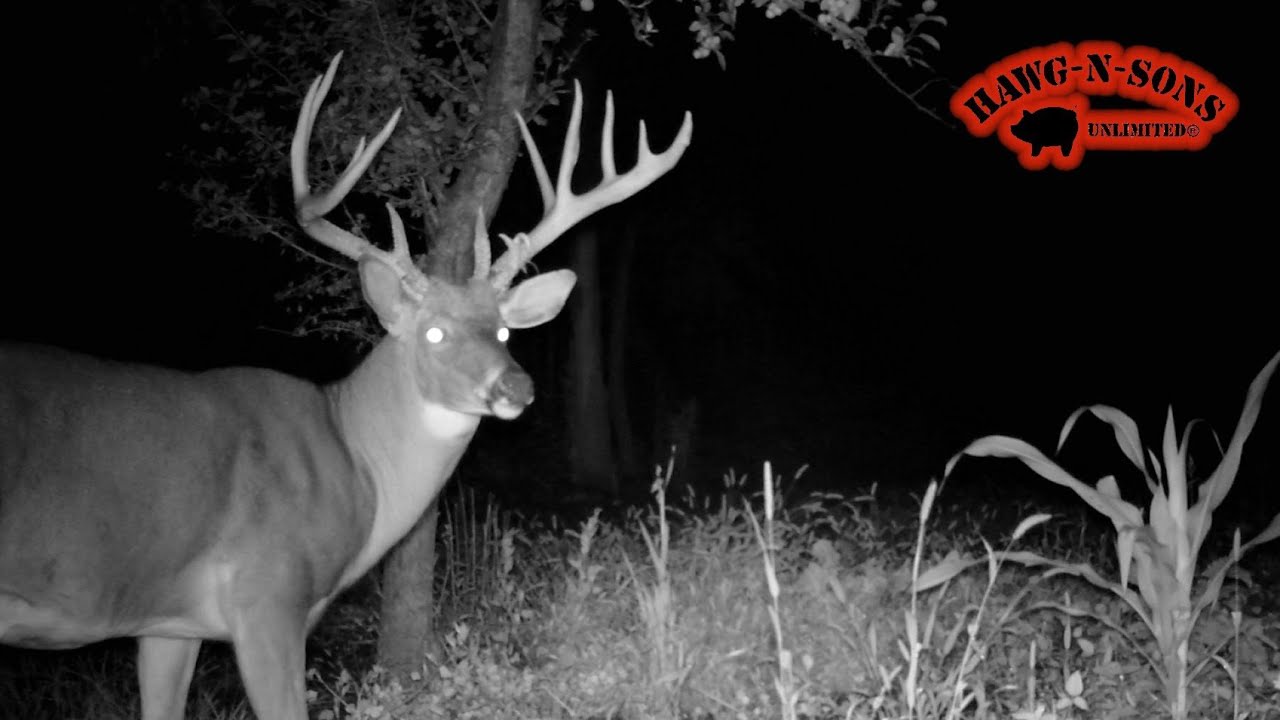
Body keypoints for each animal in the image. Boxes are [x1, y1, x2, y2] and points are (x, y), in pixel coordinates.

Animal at [0, 52, 692, 720]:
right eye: (434, 332)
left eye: (501, 331)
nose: (516, 388)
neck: (352, 458)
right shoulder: (268, 593)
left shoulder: (168, 623)